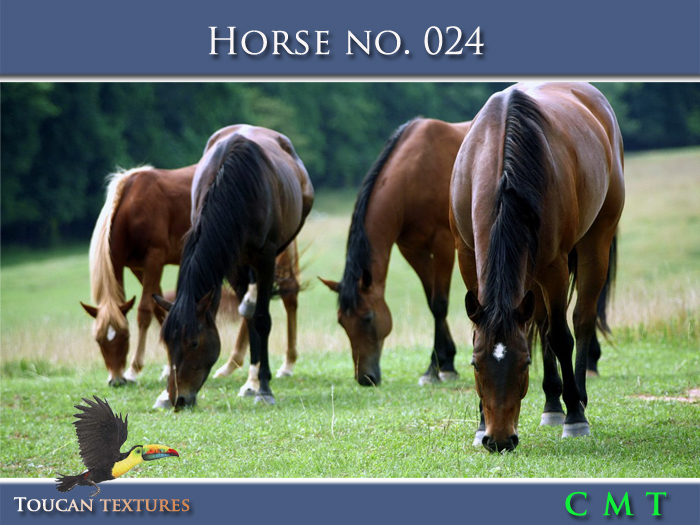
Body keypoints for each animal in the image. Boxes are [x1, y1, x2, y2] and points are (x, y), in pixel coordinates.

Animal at [81, 166, 302, 388]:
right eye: (98, 340)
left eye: (125, 336)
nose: (116, 380)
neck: (131, 206)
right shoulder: (138, 267)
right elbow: (161, 309)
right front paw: (168, 366)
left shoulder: (154, 258)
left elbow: (145, 311)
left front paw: (134, 370)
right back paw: (232, 365)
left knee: (288, 296)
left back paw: (286, 364)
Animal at [153, 124, 313, 409]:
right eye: (167, 343)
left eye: (194, 343)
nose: (178, 398)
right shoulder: (231, 262)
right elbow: (249, 319)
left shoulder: (265, 257)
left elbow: (261, 319)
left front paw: (264, 388)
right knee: (247, 312)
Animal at [321, 118, 472, 386]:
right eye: (341, 322)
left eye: (368, 318)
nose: (365, 378)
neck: (416, 175)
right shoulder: (413, 250)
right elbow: (431, 302)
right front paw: (444, 363)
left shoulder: (443, 245)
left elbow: (440, 304)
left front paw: (437, 368)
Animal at [450, 82, 624, 452]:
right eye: (475, 363)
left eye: (524, 363)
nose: (499, 440)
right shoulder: (467, 257)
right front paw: (480, 424)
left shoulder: (555, 266)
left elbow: (560, 336)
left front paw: (575, 417)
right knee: (542, 323)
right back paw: (552, 404)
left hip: (595, 243)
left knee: (581, 319)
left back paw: (576, 399)